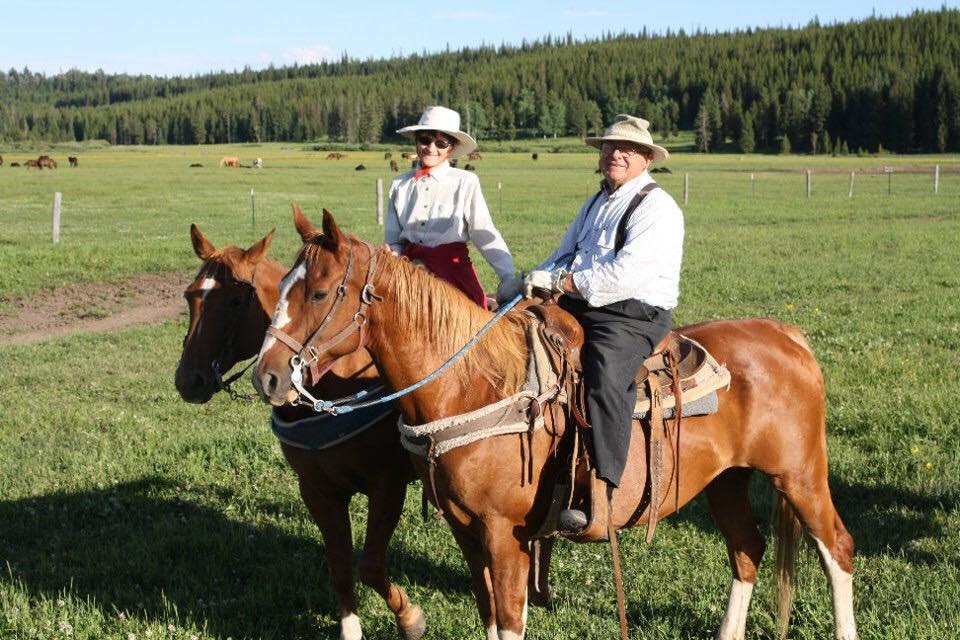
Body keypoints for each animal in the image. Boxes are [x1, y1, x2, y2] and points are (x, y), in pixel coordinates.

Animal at [174, 225, 428, 640]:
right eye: (190, 295)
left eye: (236, 300)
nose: (188, 381)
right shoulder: (318, 491)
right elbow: (340, 568)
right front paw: (351, 628)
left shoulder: (388, 485)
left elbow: (370, 565)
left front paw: (410, 618)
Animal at [253, 208, 858, 640]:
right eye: (279, 286)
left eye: (319, 292)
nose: (268, 377)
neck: (473, 385)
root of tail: (787, 336)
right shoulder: (465, 529)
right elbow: (488, 616)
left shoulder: (504, 532)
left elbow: (509, 621)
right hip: (727, 480)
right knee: (747, 552)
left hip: (799, 476)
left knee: (838, 550)